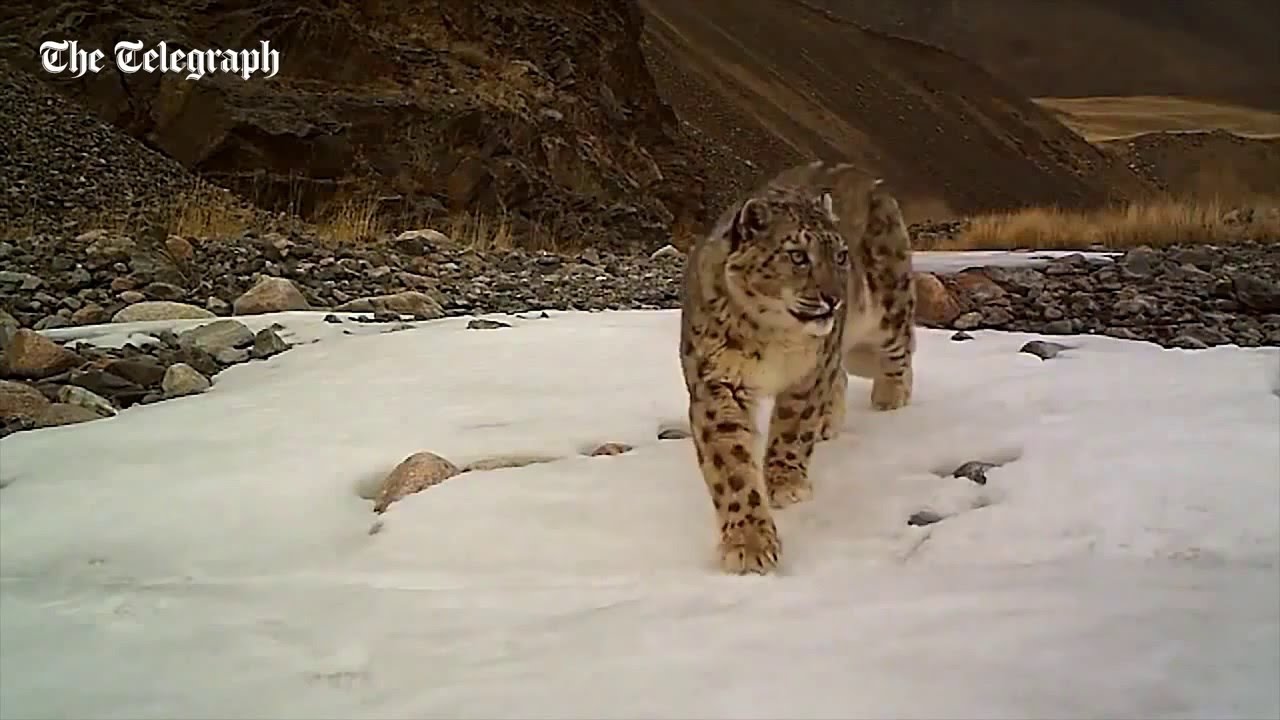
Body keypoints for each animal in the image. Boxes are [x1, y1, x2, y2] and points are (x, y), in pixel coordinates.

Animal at [678, 160, 916, 575]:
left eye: (840, 255)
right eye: (798, 255)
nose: (834, 299)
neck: (771, 334)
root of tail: (863, 173)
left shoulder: (809, 375)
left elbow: (792, 430)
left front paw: (786, 483)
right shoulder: (717, 382)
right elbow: (732, 465)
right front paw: (749, 542)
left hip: (889, 305)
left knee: (898, 347)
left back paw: (891, 396)